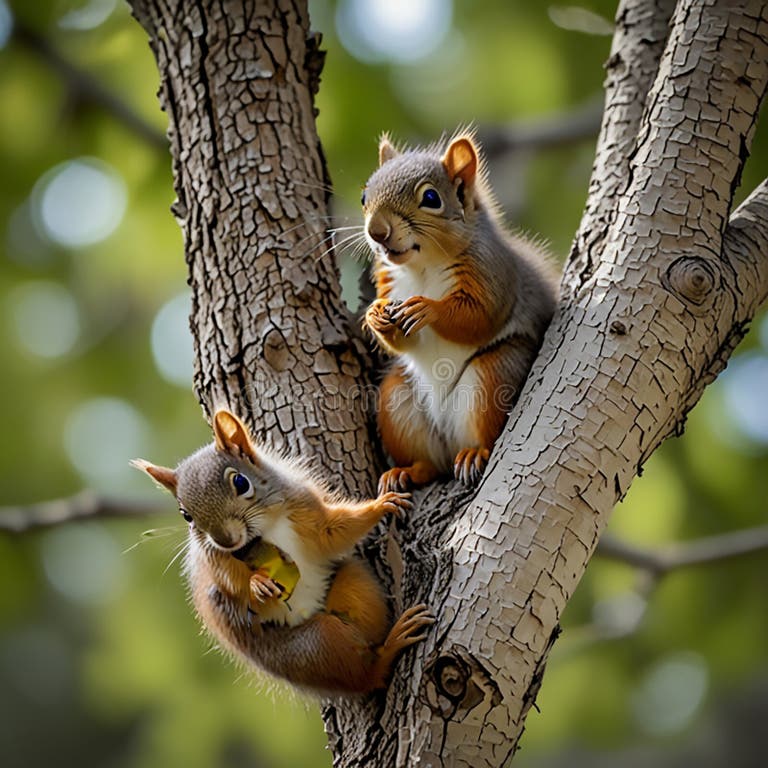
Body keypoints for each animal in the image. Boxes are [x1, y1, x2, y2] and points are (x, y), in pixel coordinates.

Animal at [132, 409, 434, 696]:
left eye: (241, 483)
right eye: (186, 515)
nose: (227, 540)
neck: (264, 530)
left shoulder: (305, 511)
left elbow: (335, 532)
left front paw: (381, 505)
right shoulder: (215, 561)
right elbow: (231, 586)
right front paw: (256, 584)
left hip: (353, 587)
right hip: (315, 646)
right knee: (366, 678)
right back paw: (391, 648)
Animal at [362, 130, 557, 493]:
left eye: (431, 198)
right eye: (365, 195)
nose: (377, 232)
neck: (423, 266)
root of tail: (451, 440)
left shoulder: (493, 271)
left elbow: (479, 318)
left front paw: (430, 309)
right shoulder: (388, 279)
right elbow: (402, 340)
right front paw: (374, 315)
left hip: (493, 378)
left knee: (484, 430)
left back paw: (474, 454)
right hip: (397, 400)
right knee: (430, 464)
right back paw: (405, 472)